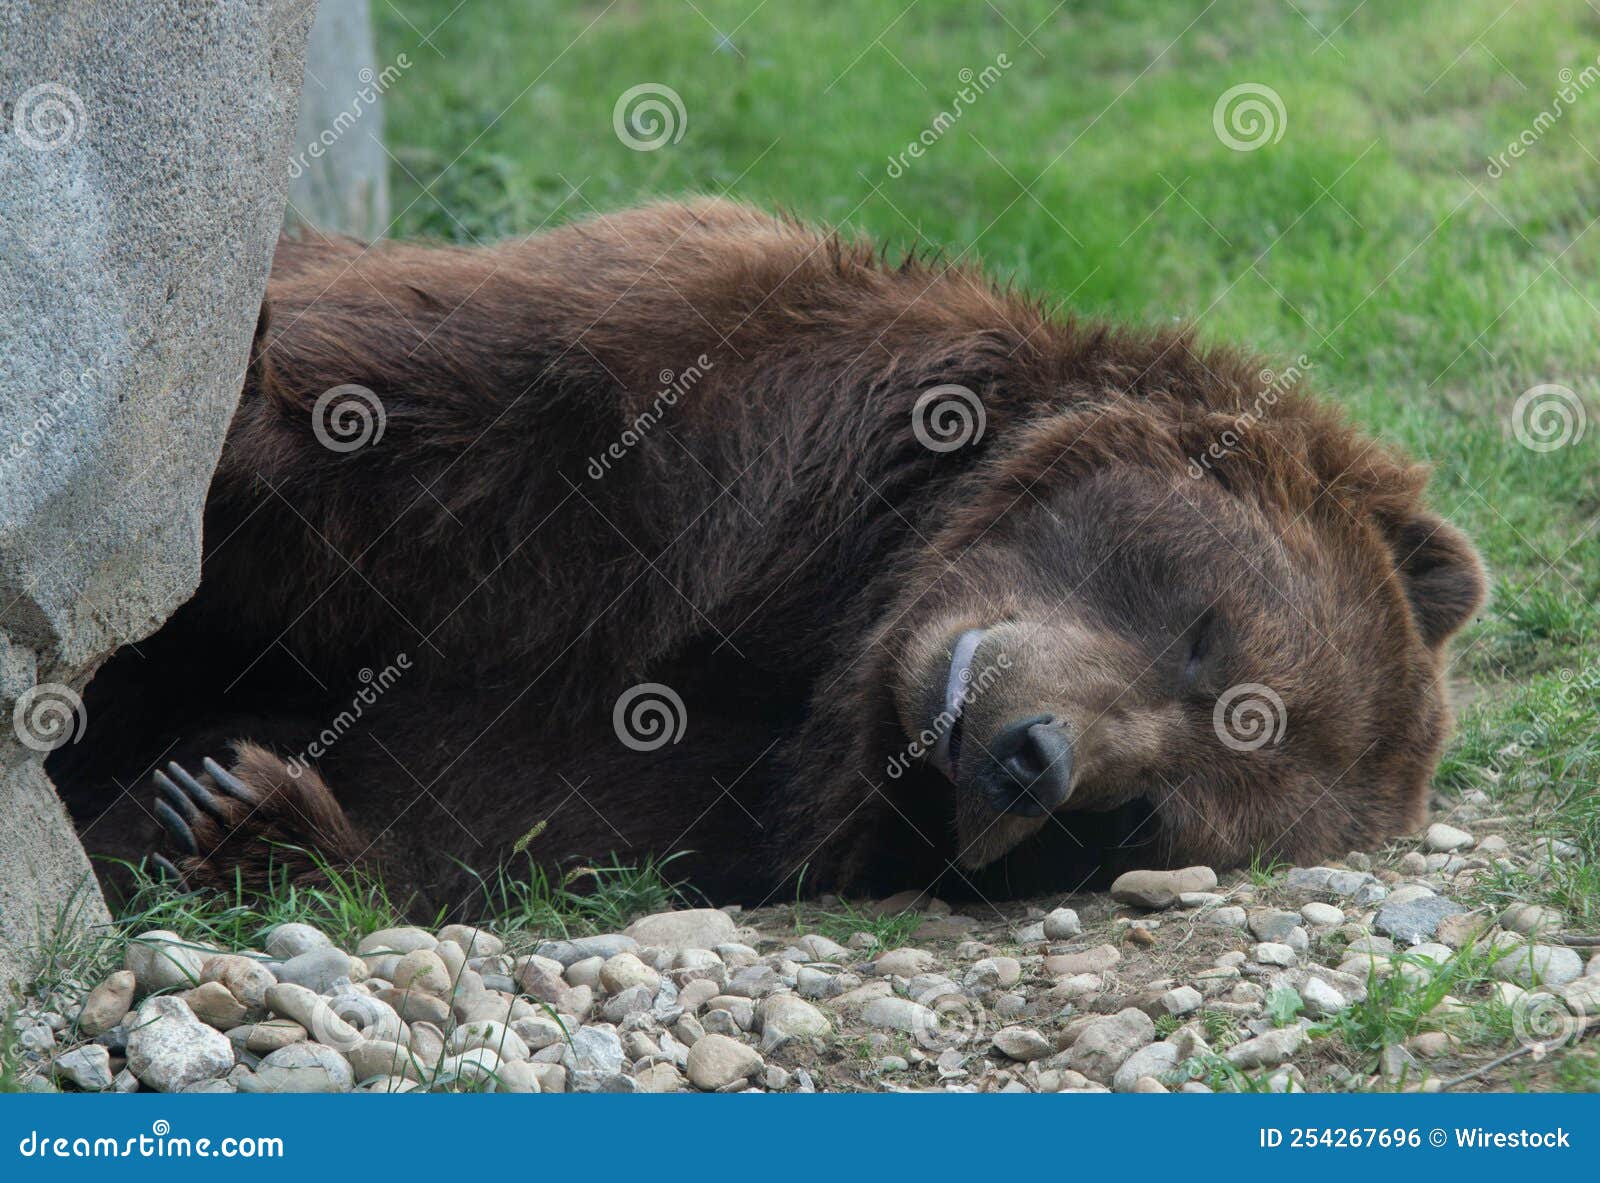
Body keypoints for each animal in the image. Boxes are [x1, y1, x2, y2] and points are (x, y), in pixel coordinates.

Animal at [52, 198, 1486, 913]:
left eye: (1143, 814)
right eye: (1206, 635)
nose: (1033, 758)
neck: (841, 602)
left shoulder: (697, 791)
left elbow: (452, 823)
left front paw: (235, 808)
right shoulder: (704, 402)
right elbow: (355, 417)